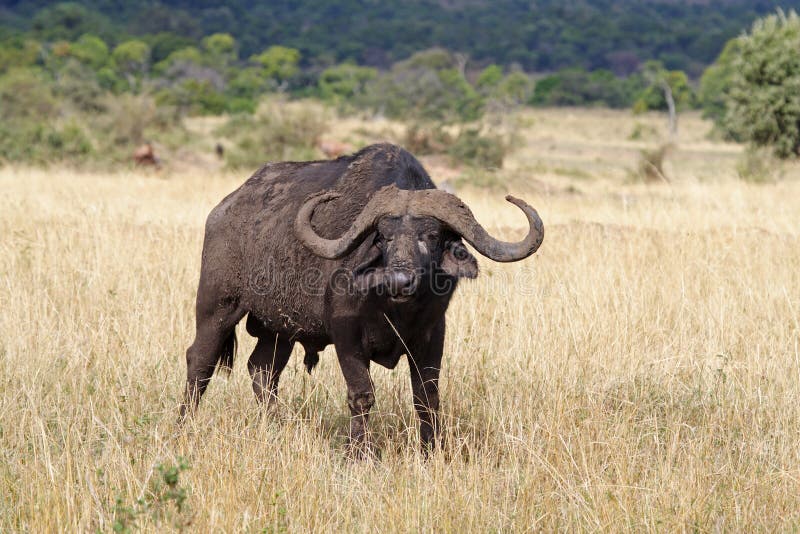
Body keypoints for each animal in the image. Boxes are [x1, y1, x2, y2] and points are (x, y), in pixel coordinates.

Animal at [179, 143, 544, 455]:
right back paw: (184, 423)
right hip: (217, 305)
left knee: (263, 370)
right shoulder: (347, 338)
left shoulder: (432, 336)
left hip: (279, 327)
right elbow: (361, 395)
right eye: (383, 237)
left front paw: (432, 451)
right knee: (200, 361)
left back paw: (276, 426)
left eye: (431, 235)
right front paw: (360, 454)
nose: (400, 280)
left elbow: (427, 398)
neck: (395, 310)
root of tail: (222, 210)